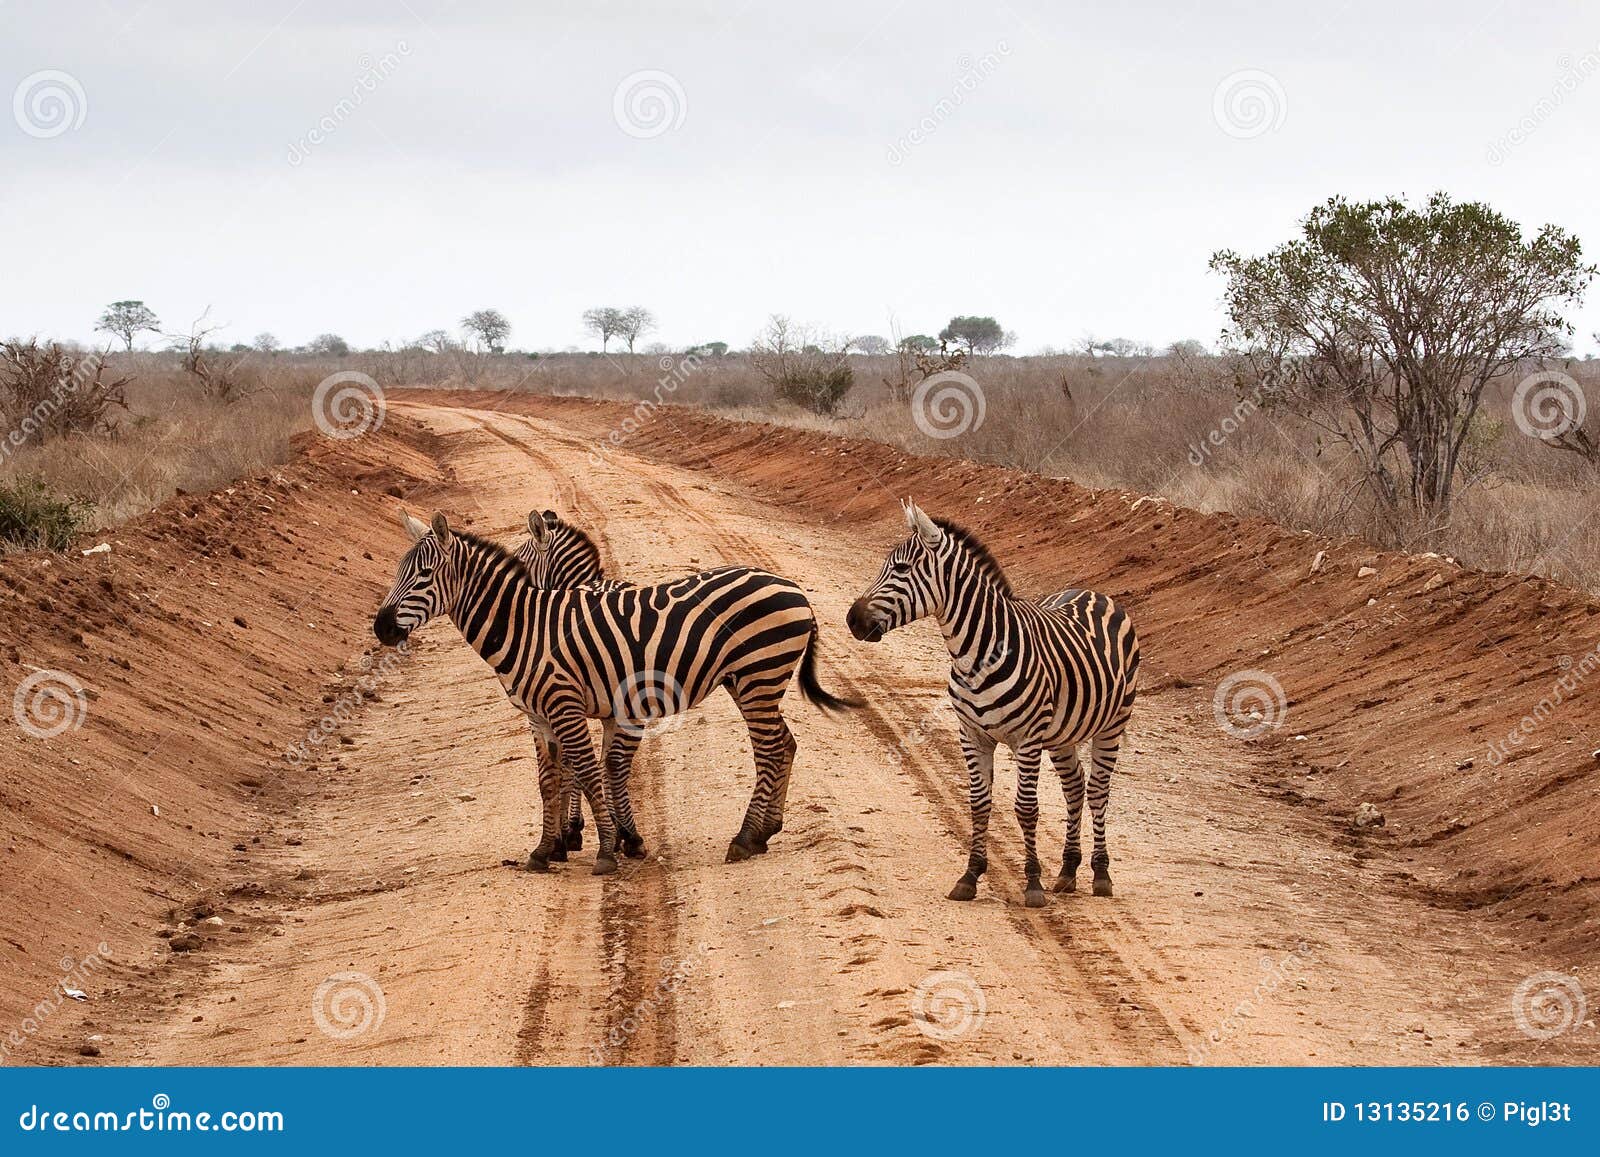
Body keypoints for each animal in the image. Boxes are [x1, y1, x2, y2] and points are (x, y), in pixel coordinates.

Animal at [375, 508, 861, 874]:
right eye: (398, 571)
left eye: (423, 574)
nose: (380, 628)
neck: (528, 628)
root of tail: (793, 588)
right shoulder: (541, 715)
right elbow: (550, 781)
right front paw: (545, 850)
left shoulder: (568, 706)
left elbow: (590, 773)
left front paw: (607, 848)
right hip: (754, 681)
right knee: (785, 744)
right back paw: (763, 834)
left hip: (758, 675)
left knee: (771, 750)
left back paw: (744, 838)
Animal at [846, 500, 1139, 908]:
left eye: (901, 569)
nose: (852, 620)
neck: (975, 655)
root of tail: (1094, 592)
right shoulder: (972, 734)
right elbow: (979, 802)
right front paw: (970, 876)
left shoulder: (1027, 740)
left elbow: (1026, 809)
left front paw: (1032, 883)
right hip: (1062, 734)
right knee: (1075, 786)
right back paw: (1067, 871)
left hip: (1113, 723)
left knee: (1097, 791)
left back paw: (1100, 874)